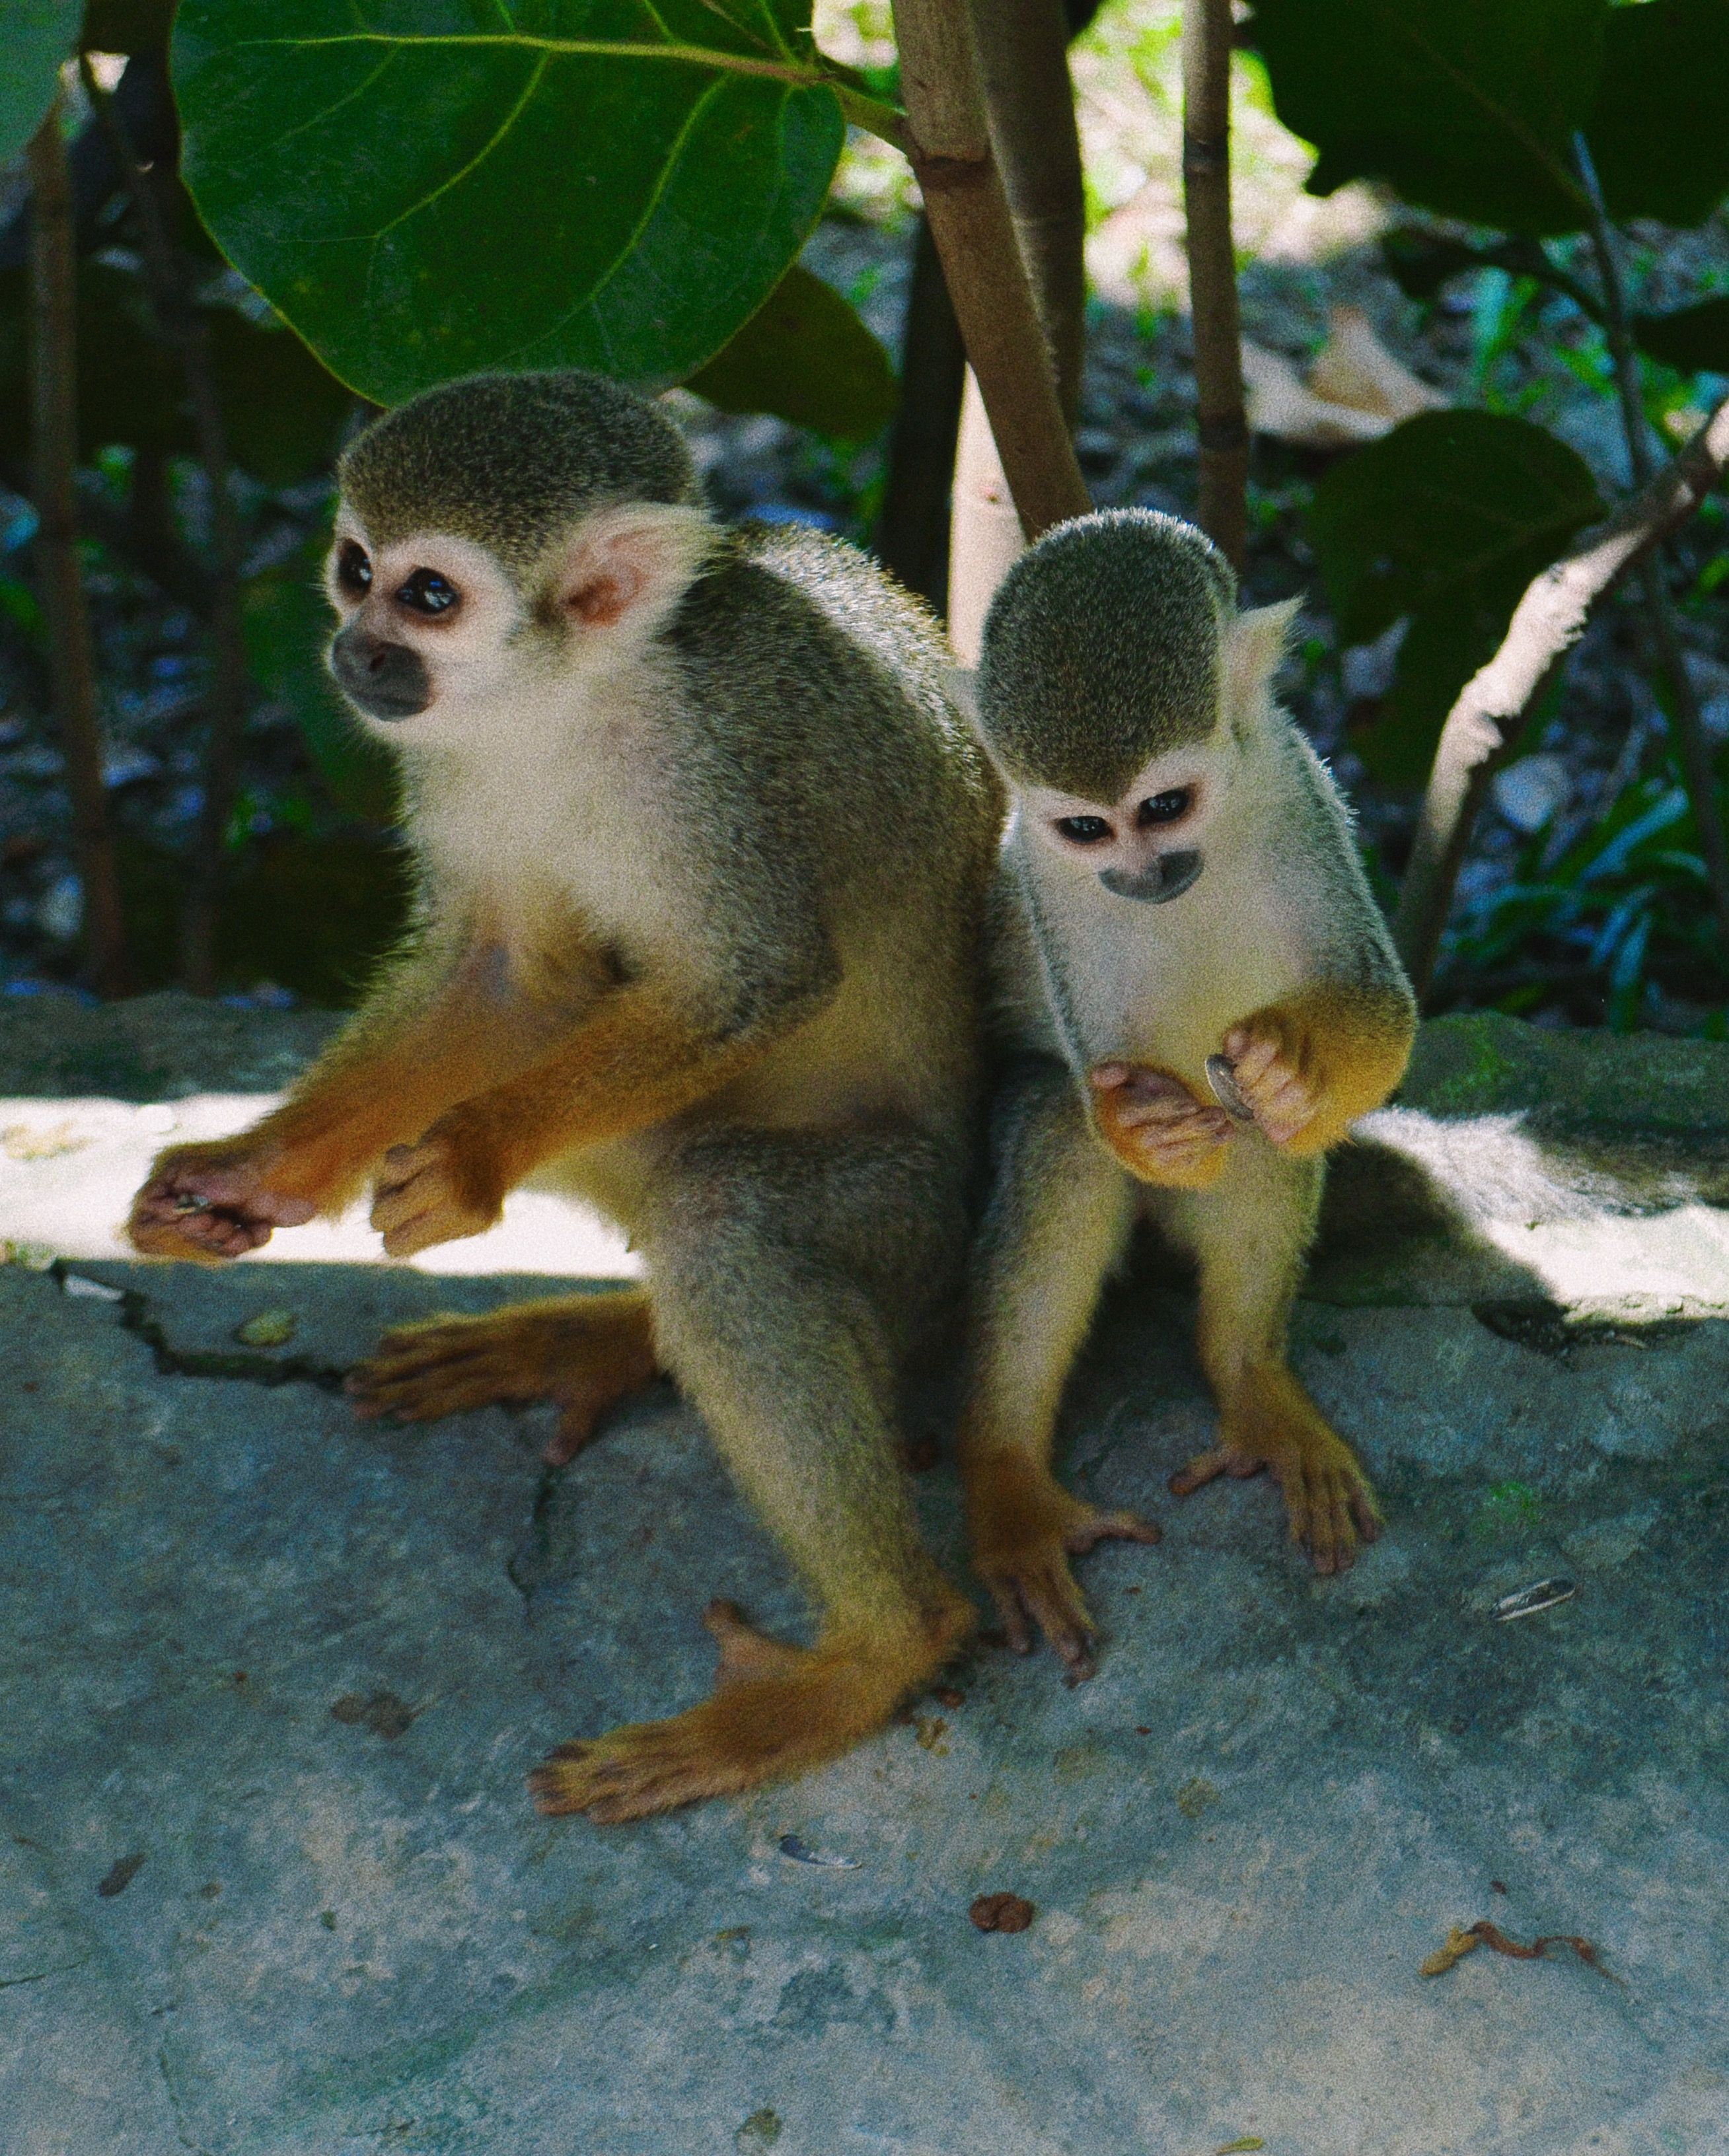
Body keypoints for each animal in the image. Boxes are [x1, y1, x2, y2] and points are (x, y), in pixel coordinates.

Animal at [125, 368, 1005, 1821]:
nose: (355, 651)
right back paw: (601, 1339)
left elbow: (754, 979)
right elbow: (508, 982)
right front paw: (257, 1172)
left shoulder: (703, 772)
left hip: (925, 1230)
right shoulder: (449, 757)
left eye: (429, 595)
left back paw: (873, 1655)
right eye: (354, 568)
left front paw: (474, 1153)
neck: (564, 703)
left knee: (725, 1221)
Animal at [954, 509, 1416, 1674]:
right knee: (1055, 1138)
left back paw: (1248, 1374)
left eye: (1164, 806)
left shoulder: (1296, 785)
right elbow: (1097, 1087)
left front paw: (1298, 1060)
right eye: (1086, 829)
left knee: (1268, 1143)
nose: (1142, 875)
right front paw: (1138, 1122)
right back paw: (1006, 1478)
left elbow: (1380, 1016)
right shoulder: (1044, 879)